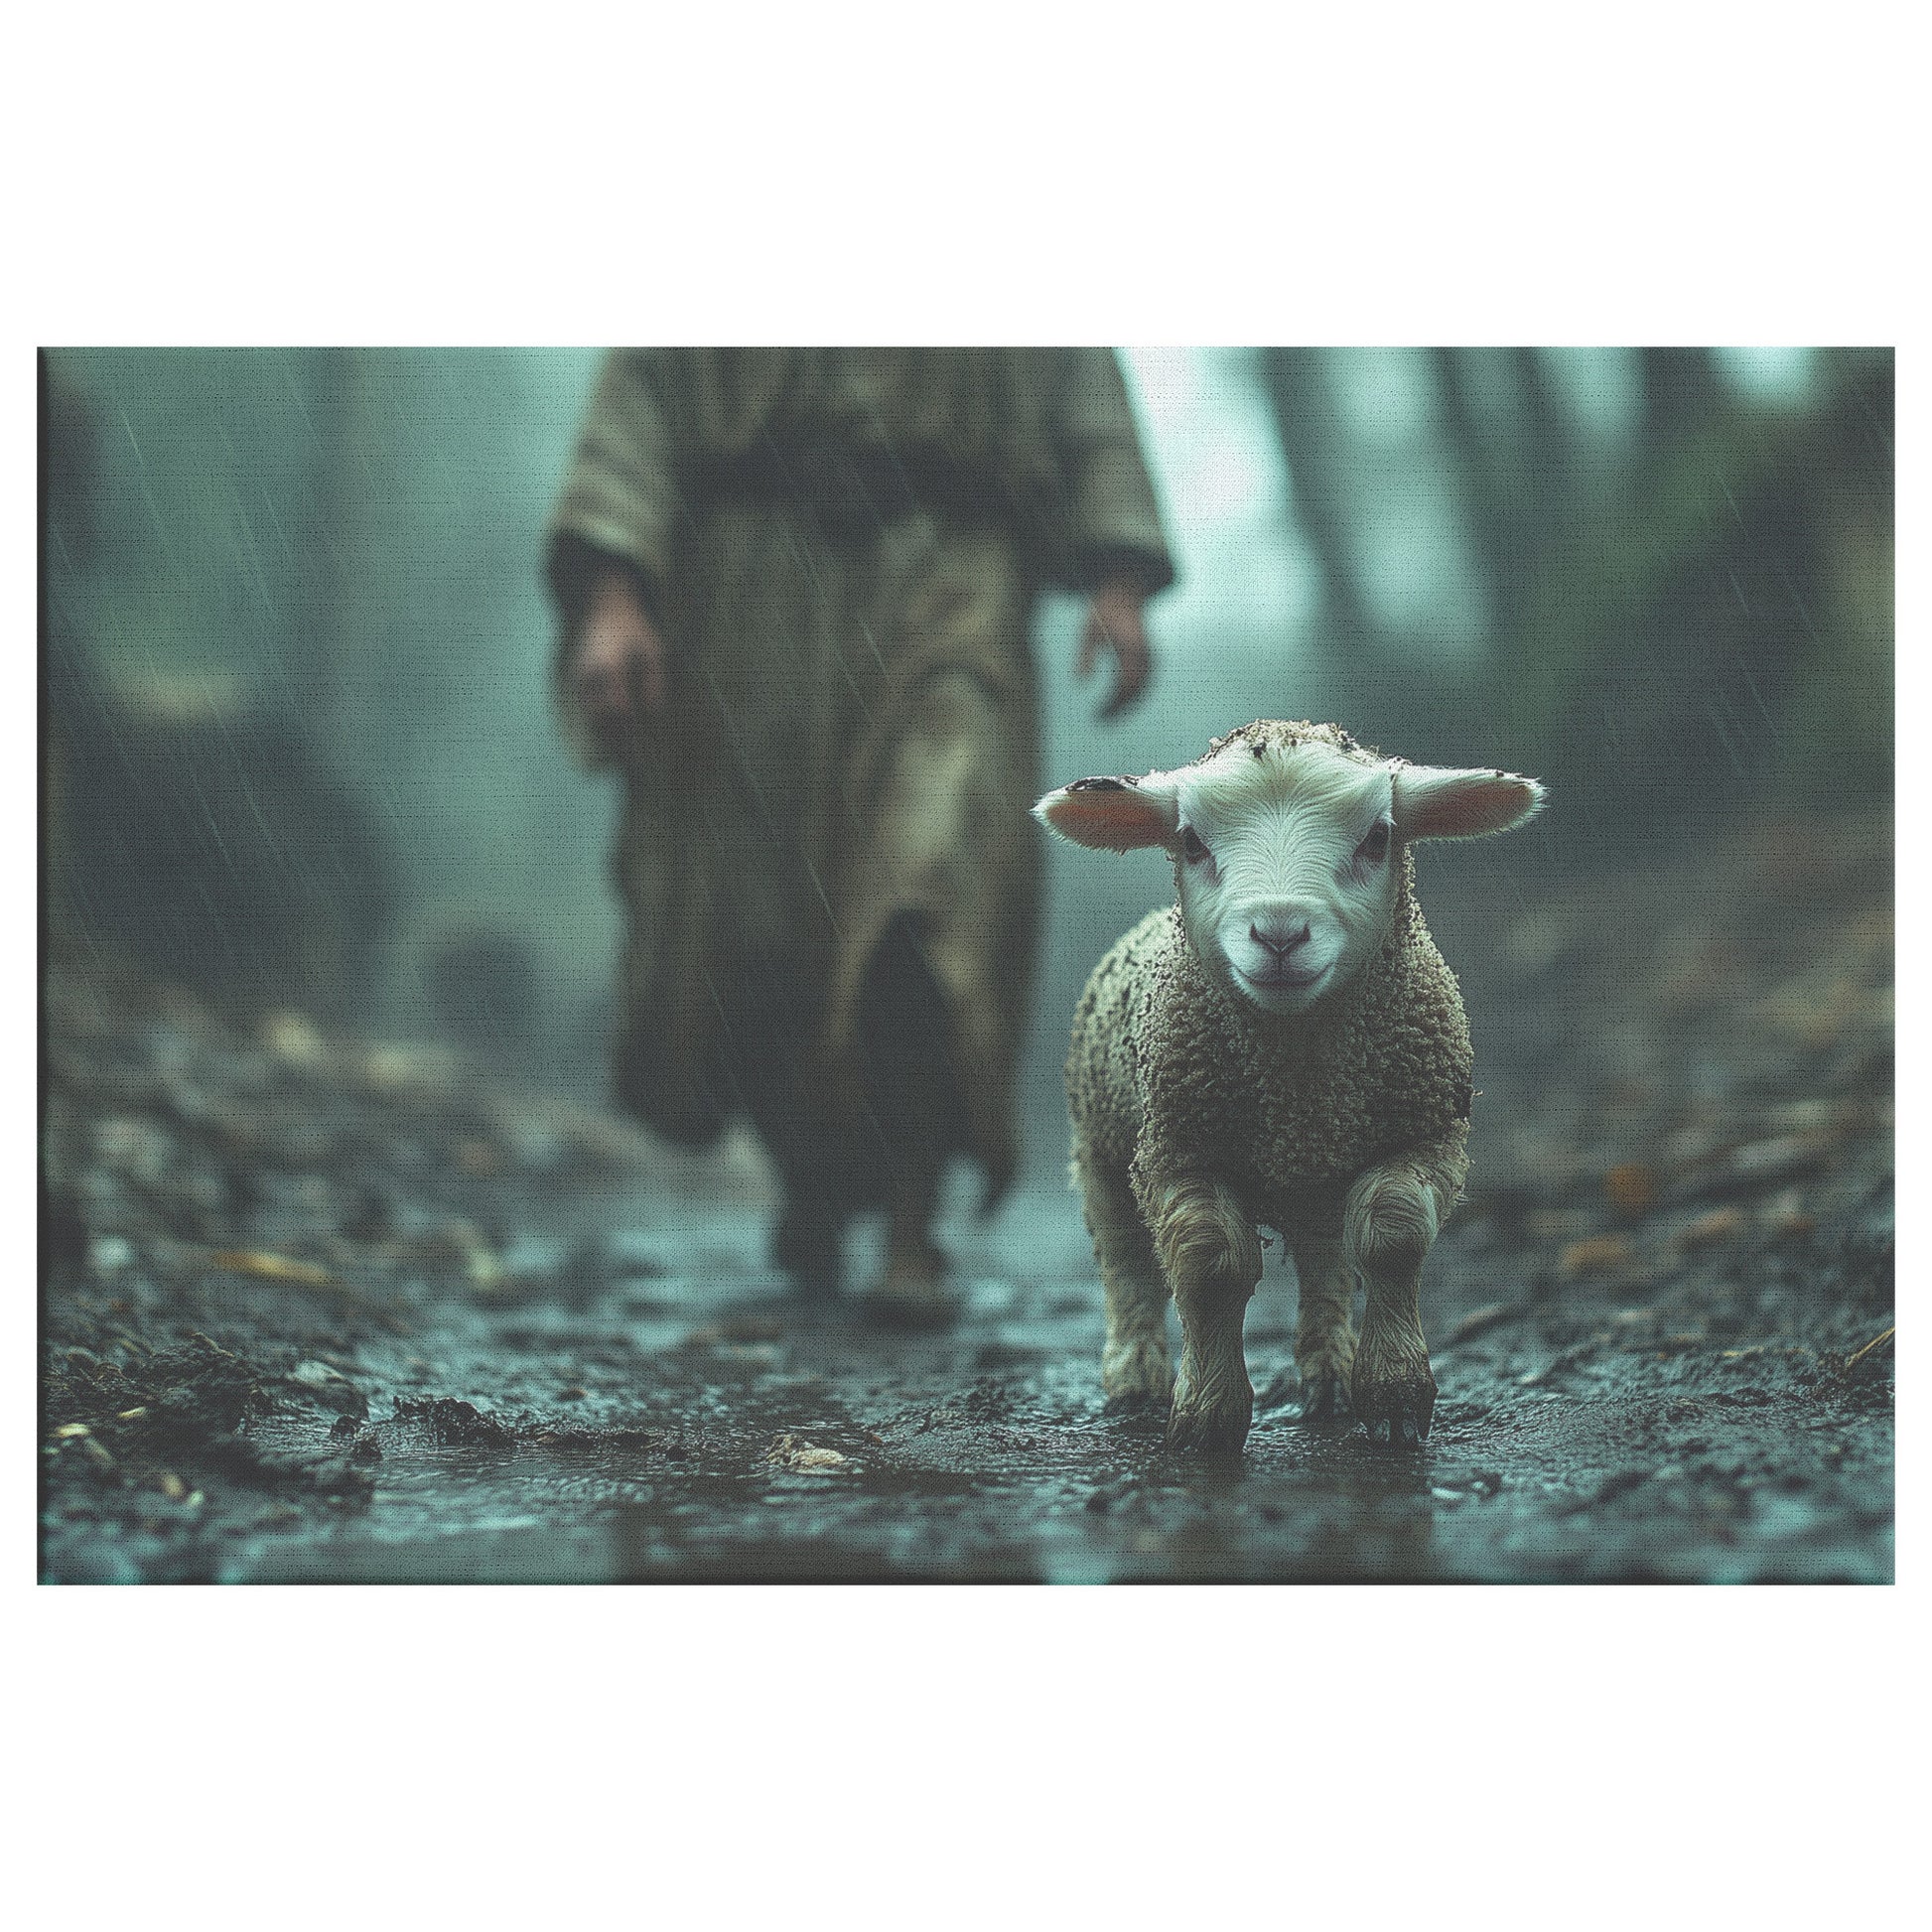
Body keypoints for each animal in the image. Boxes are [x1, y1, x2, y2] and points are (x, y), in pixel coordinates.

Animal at [1035, 719, 1545, 1453]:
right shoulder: (1175, 1152)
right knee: (1125, 1262)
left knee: (1326, 1264)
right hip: (1099, 1154)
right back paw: (1134, 1377)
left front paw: (1392, 1394)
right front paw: (1207, 1416)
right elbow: (1208, 1259)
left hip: (1319, 1188)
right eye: (1191, 841)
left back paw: (1330, 1376)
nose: (1279, 934)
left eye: (1379, 837)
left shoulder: (1429, 1135)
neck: (1298, 1081)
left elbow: (1392, 1231)